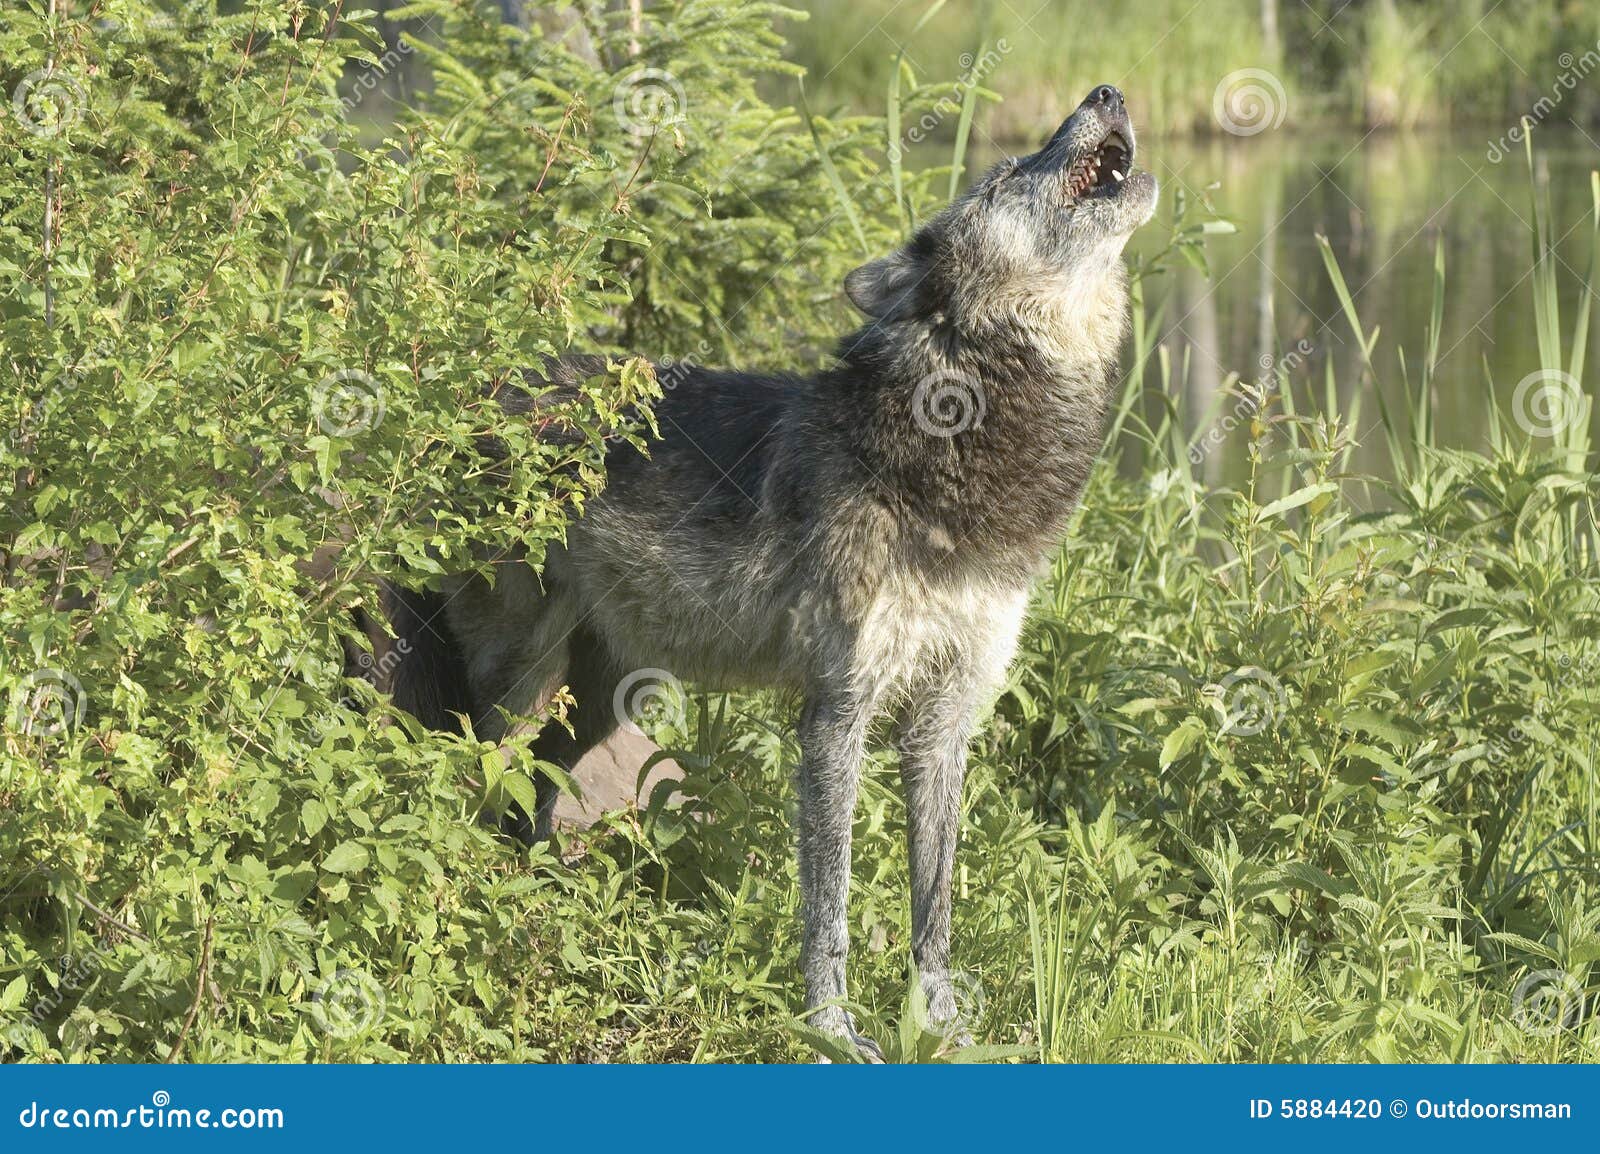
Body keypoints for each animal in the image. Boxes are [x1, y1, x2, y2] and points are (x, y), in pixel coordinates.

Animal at [386, 85, 1157, 1058]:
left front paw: (942, 1028)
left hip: (603, 697)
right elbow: (827, 904)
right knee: (482, 783)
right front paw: (833, 1031)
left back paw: (543, 903)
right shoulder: (837, 713)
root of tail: (469, 403)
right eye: (1005, 174)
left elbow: (934, 905)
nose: (1106, 93)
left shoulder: (946, 719)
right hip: (520, 683)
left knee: (536, 797)